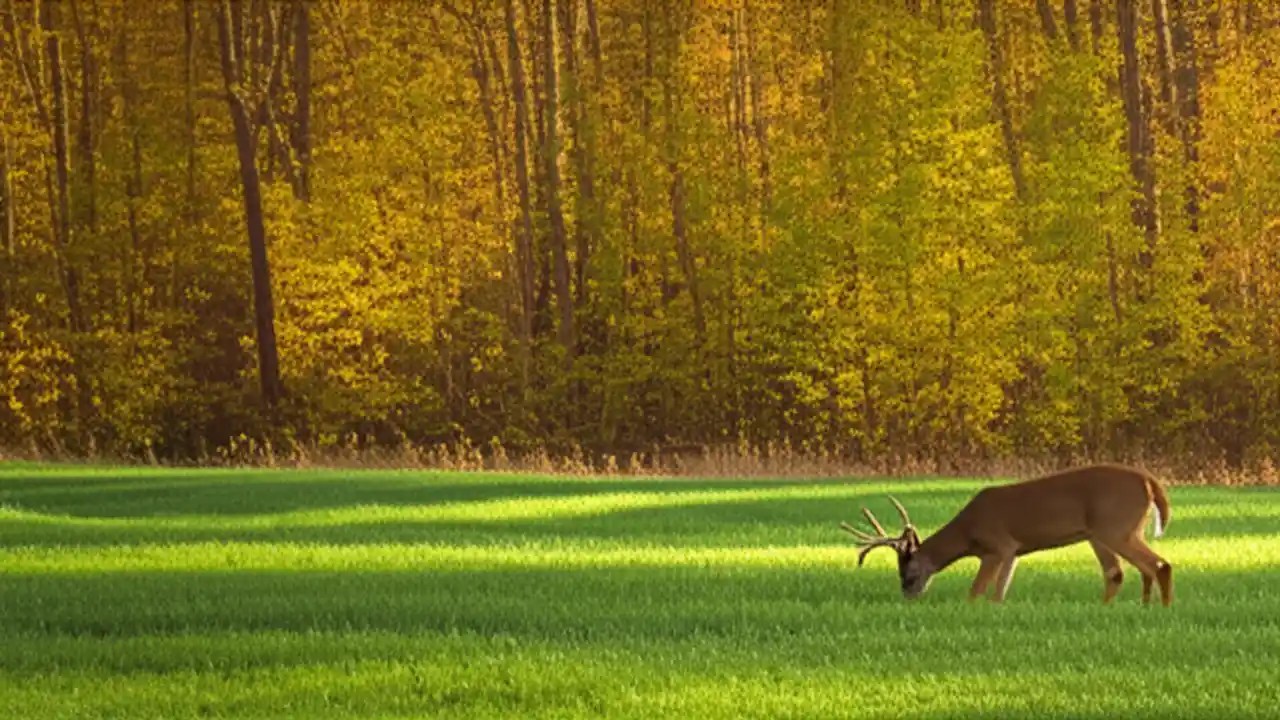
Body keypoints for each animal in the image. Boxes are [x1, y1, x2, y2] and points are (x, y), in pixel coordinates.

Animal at [839, 463, 1173, 606]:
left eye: (907, 574)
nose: (909, 596)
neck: (967, 532)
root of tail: (1149, 481)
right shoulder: (1013, 550)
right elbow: (999, 592)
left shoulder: (997, 546)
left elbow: (976, 590)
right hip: (1108, 532)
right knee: (1121, 572)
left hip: (1115, 528)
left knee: (1158, 565)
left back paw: (1161, 608)